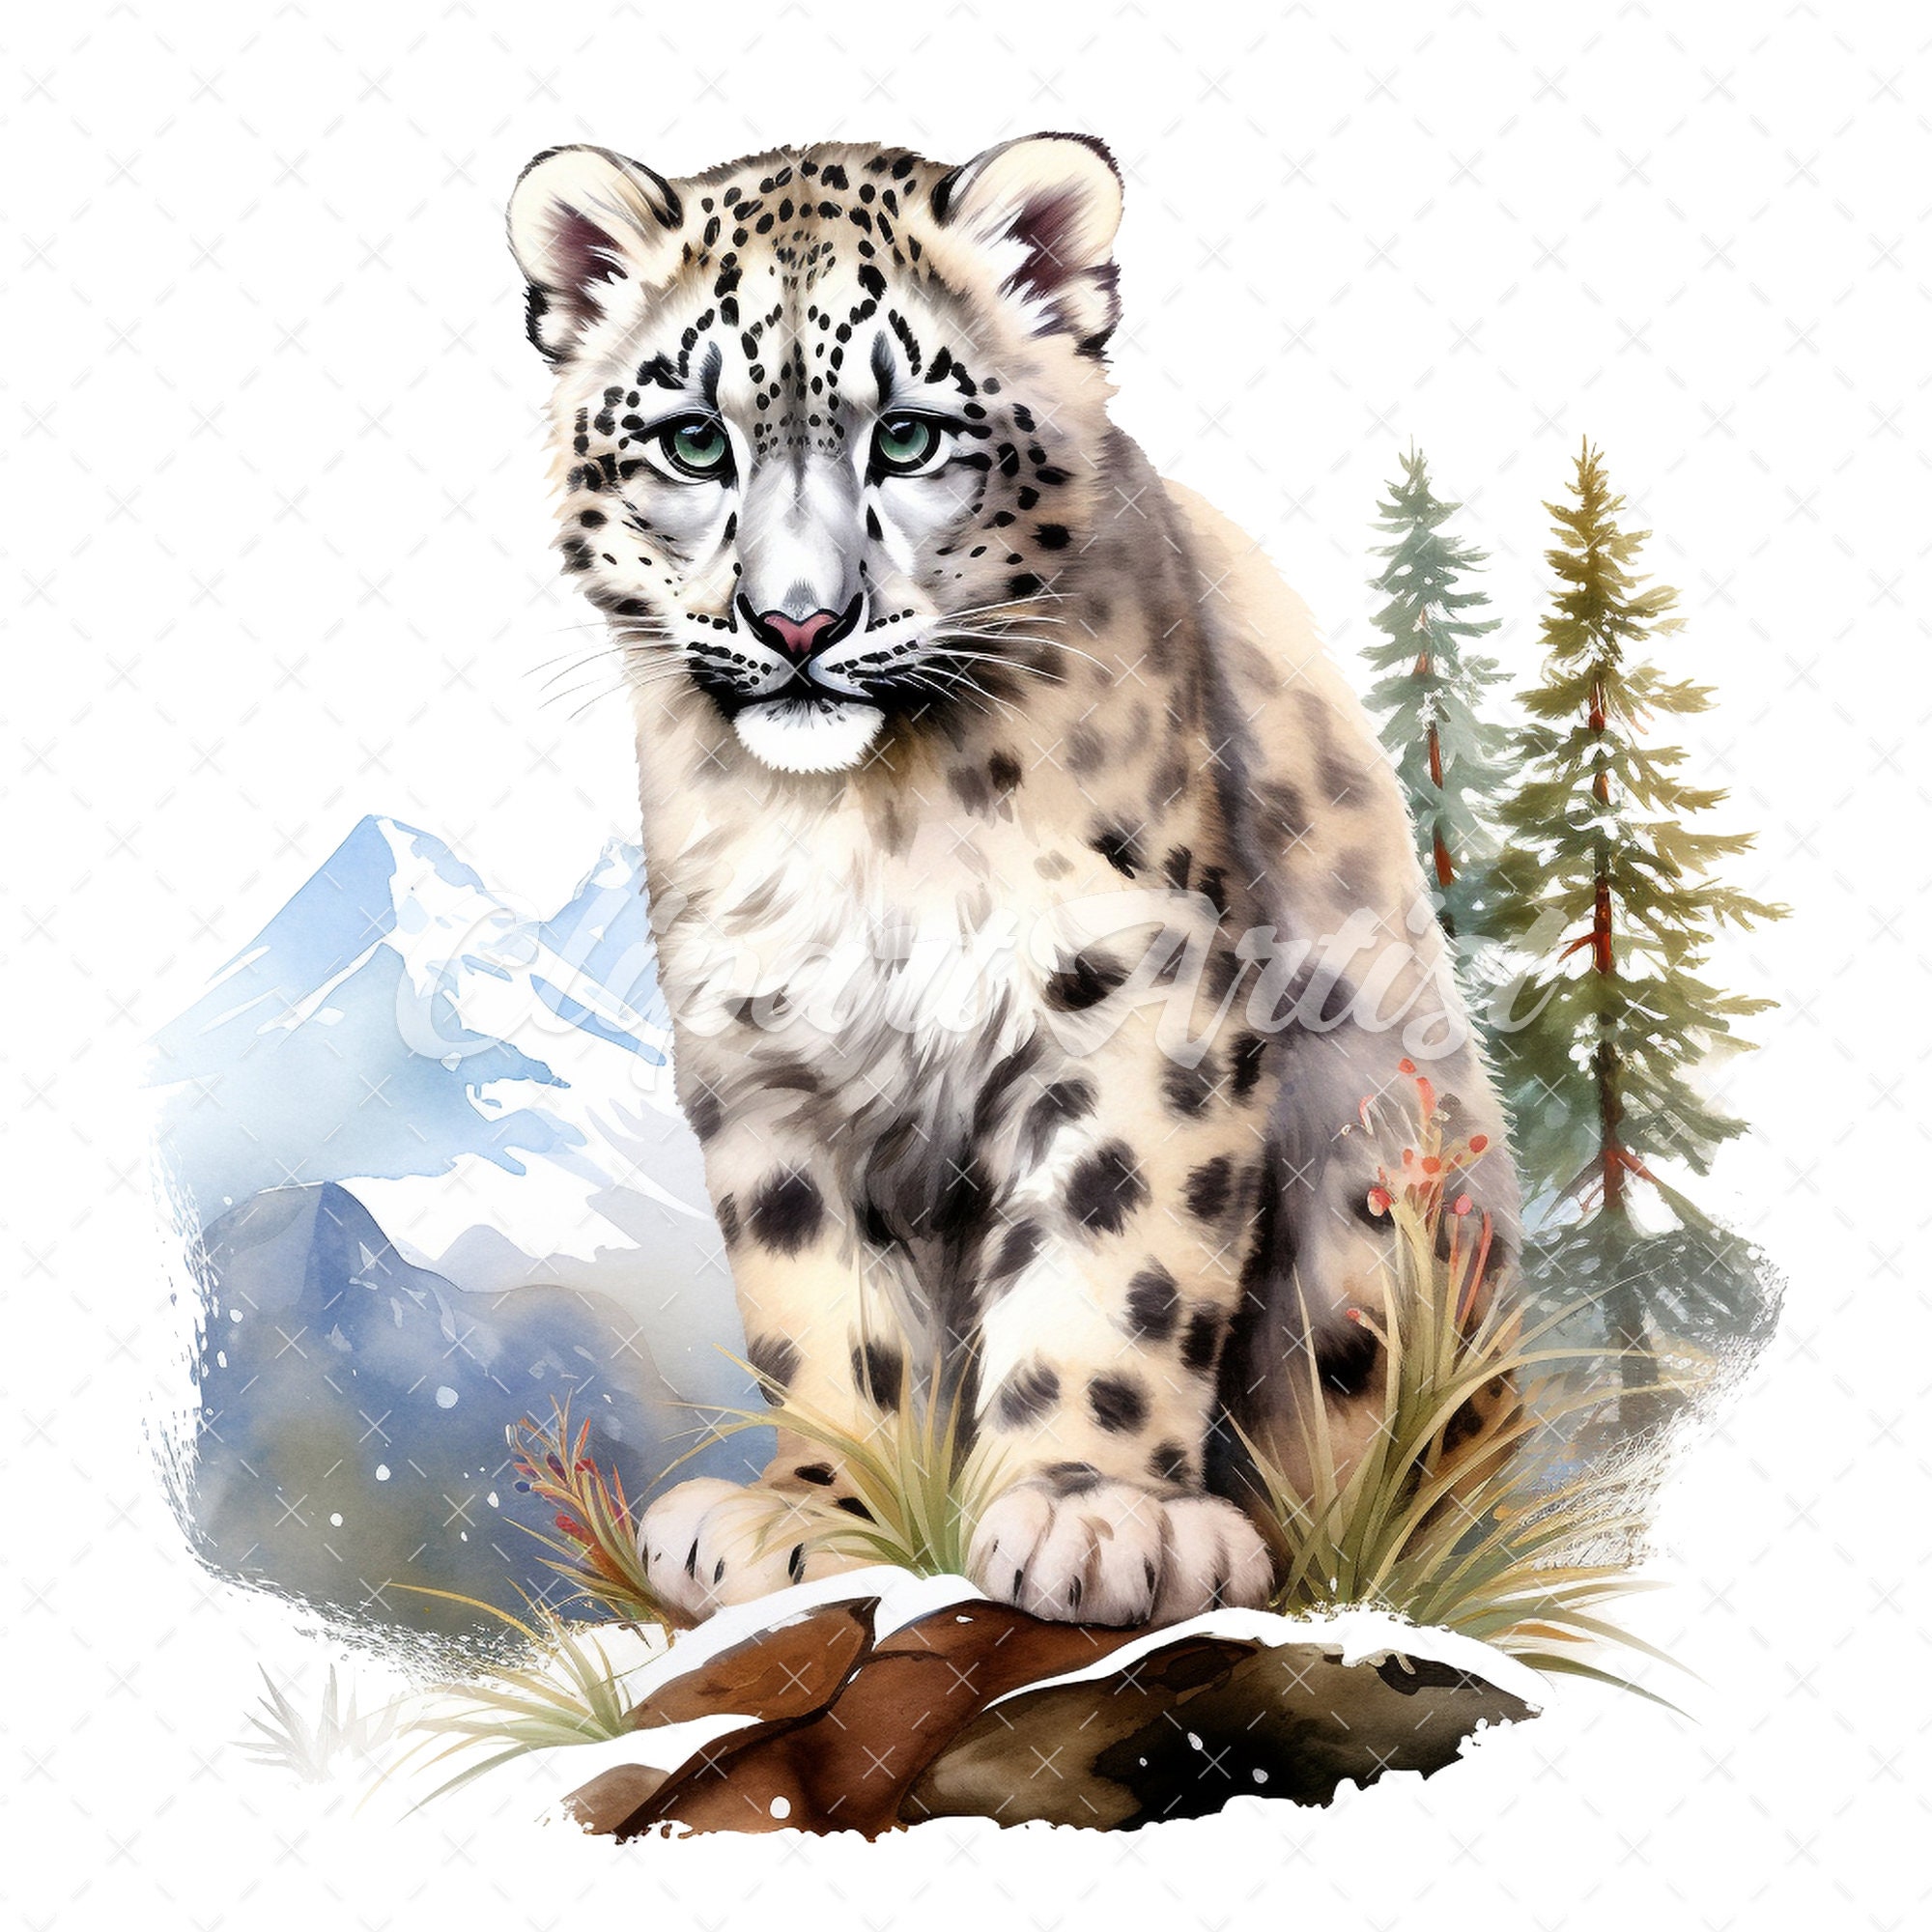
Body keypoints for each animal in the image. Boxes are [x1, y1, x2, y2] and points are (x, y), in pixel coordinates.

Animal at [505, 133, 1521, 1628]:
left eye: (908, 434)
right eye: (694, 440)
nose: (797, 621)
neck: (866, 827)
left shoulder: (1141, 999)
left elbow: (1116, 1253)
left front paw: (1092, 1516)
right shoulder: (767, 1047)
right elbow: (819, 1305)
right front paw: (818, 1516)